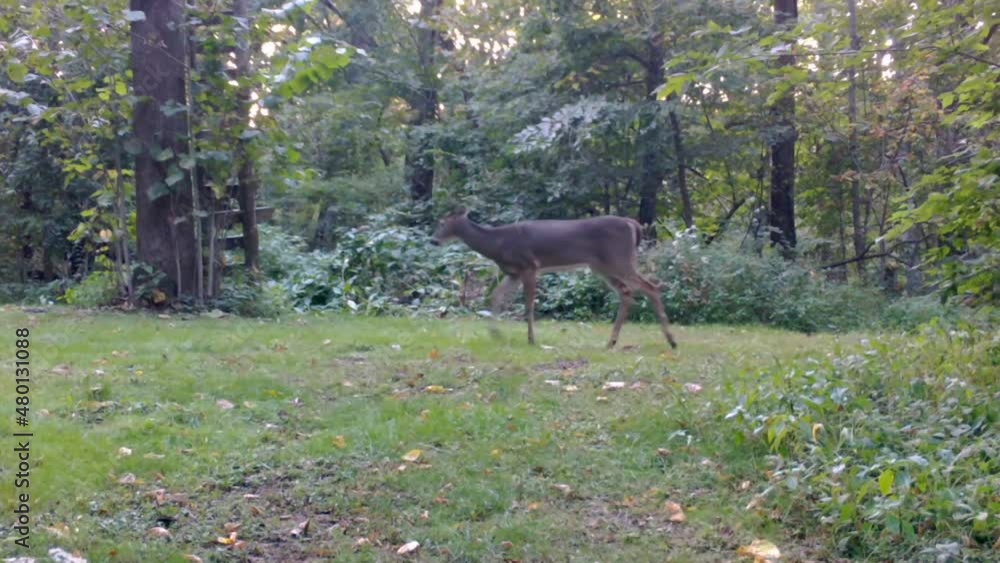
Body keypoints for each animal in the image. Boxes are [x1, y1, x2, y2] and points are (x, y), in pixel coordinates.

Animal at [431, 207, 678, 349]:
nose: (433, 240)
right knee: (627, 292)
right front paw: (495, 333)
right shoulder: (514, 272)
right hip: (601, 265)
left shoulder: (530, 266)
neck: (497, 243)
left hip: (619, 258)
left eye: (442, 223)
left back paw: (672, 341)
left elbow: (528, 305)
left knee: (650, 286)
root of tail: (633, 224)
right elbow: (496, 297)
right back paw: (611, 342)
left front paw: (531, 340)